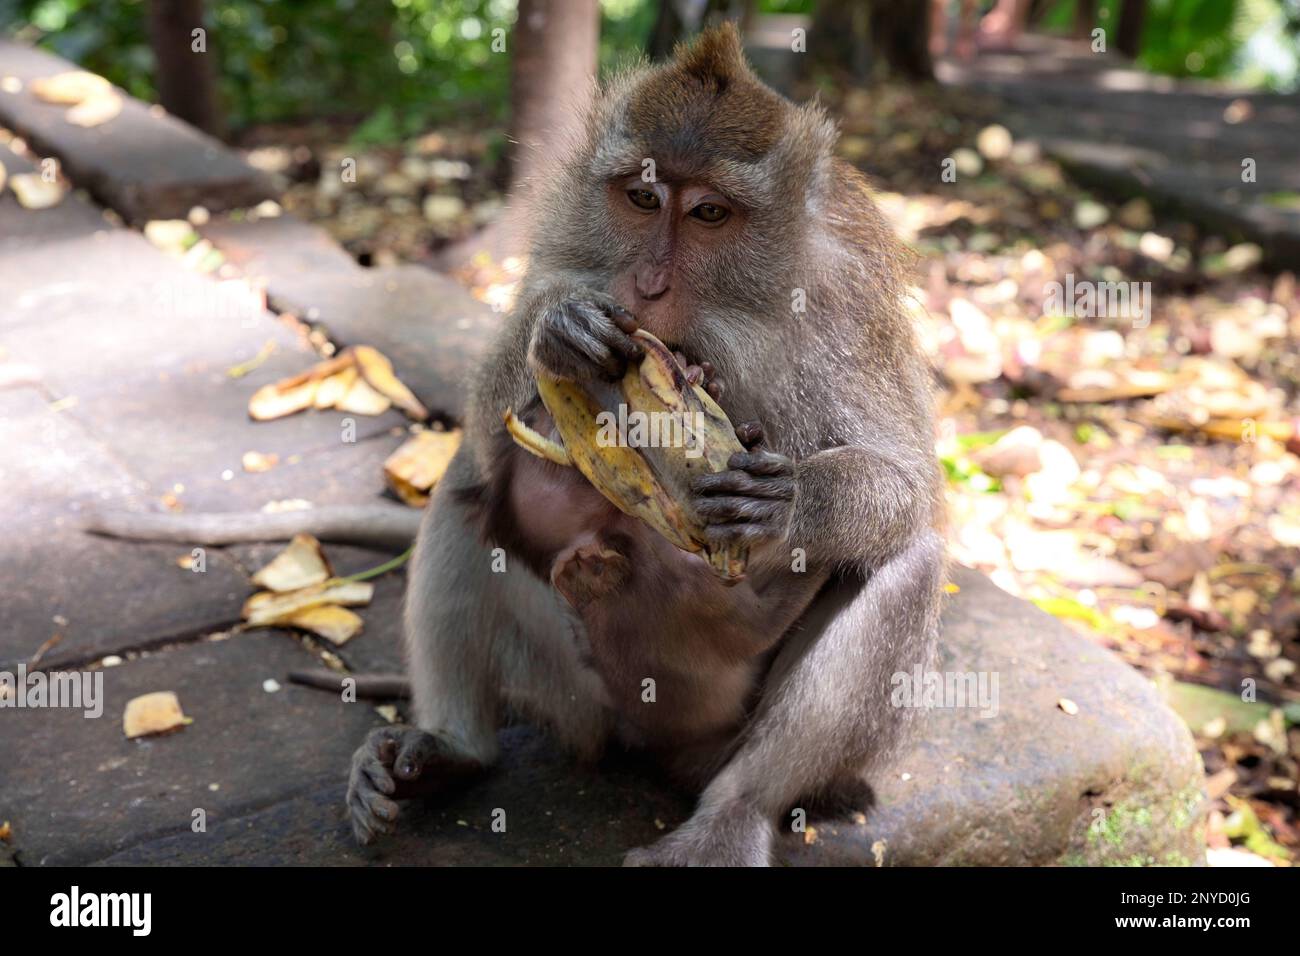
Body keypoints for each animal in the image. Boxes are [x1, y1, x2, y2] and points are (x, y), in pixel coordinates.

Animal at [90, 23, 945, 866]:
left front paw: (784, 500)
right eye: (641, 198)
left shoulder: (844, 301)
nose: (649, 286)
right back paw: (449, 752)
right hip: (574, 690)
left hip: (720, 715)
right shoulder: (565, 255)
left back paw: (730, 818)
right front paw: (556, 337)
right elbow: (484, 413)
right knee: (467, 486)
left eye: (709, 213)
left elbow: (909, 489)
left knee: (901, 569)